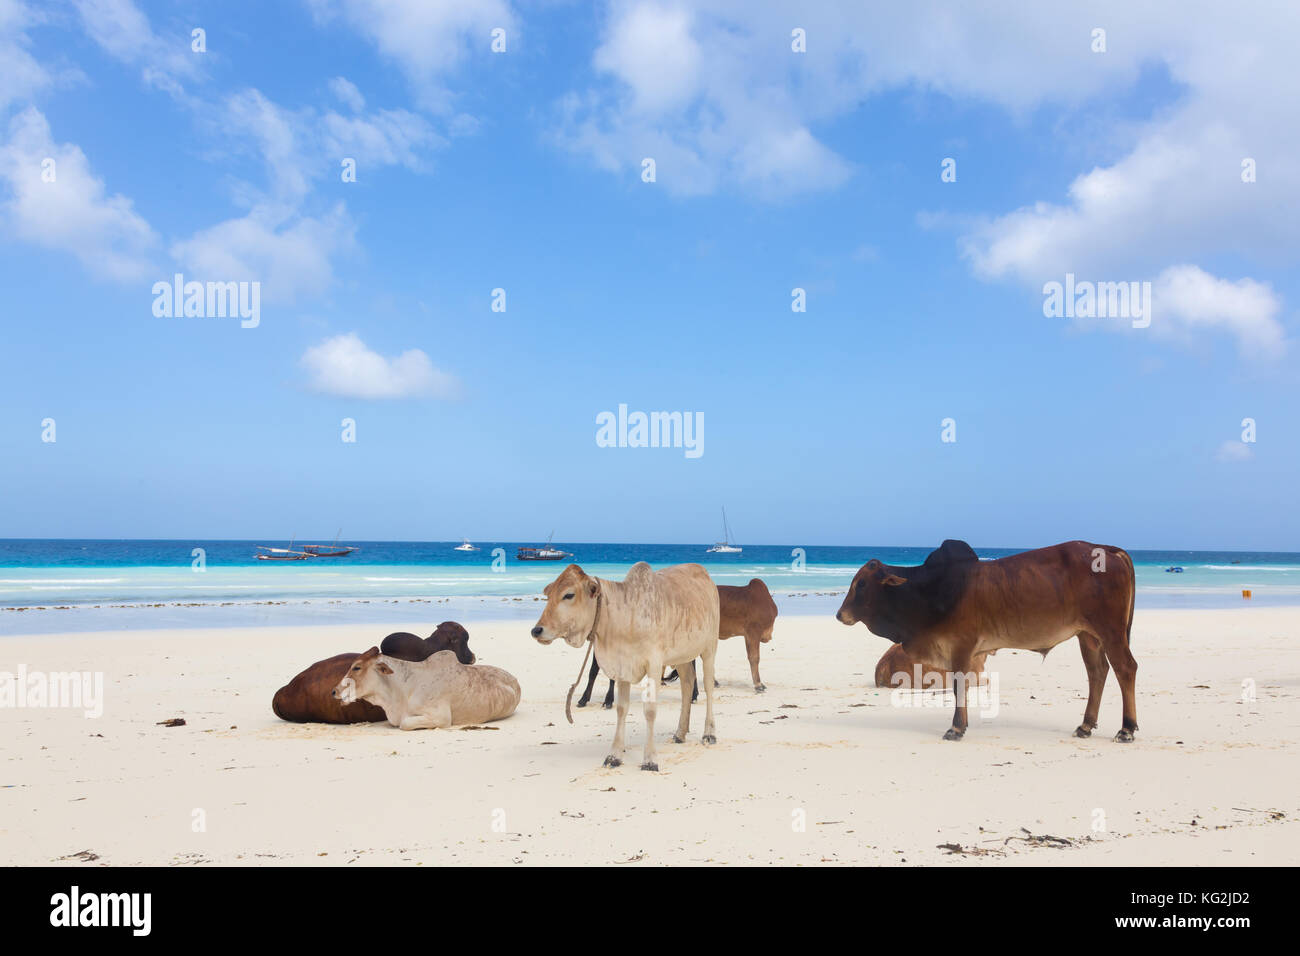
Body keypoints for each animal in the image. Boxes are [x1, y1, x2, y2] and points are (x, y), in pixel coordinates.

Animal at [531, 562, 720, 772]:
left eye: (569, 595)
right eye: (548, 594)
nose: (536, 630)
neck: (625, 618)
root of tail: (706, 576)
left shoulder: (654, 665)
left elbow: (650, 710)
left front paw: (650, 759)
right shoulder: (622, 668)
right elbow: (621, 709)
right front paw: (614, 755)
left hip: (709, 648)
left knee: (708, 687)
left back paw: (709, 733)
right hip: (682, 657)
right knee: (687, 685)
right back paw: (680, 733)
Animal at [836, 540, 1137, 742]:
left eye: (861, 584)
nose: (840, 614)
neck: (930, 591)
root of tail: (1110, 549)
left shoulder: (961, 646)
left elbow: (959, 687)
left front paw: (956, 728)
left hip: (1110, 630)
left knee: (1125, 668)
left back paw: (1126, 729)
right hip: (1088, 635)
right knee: (1097, 672)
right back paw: (1085, 726)